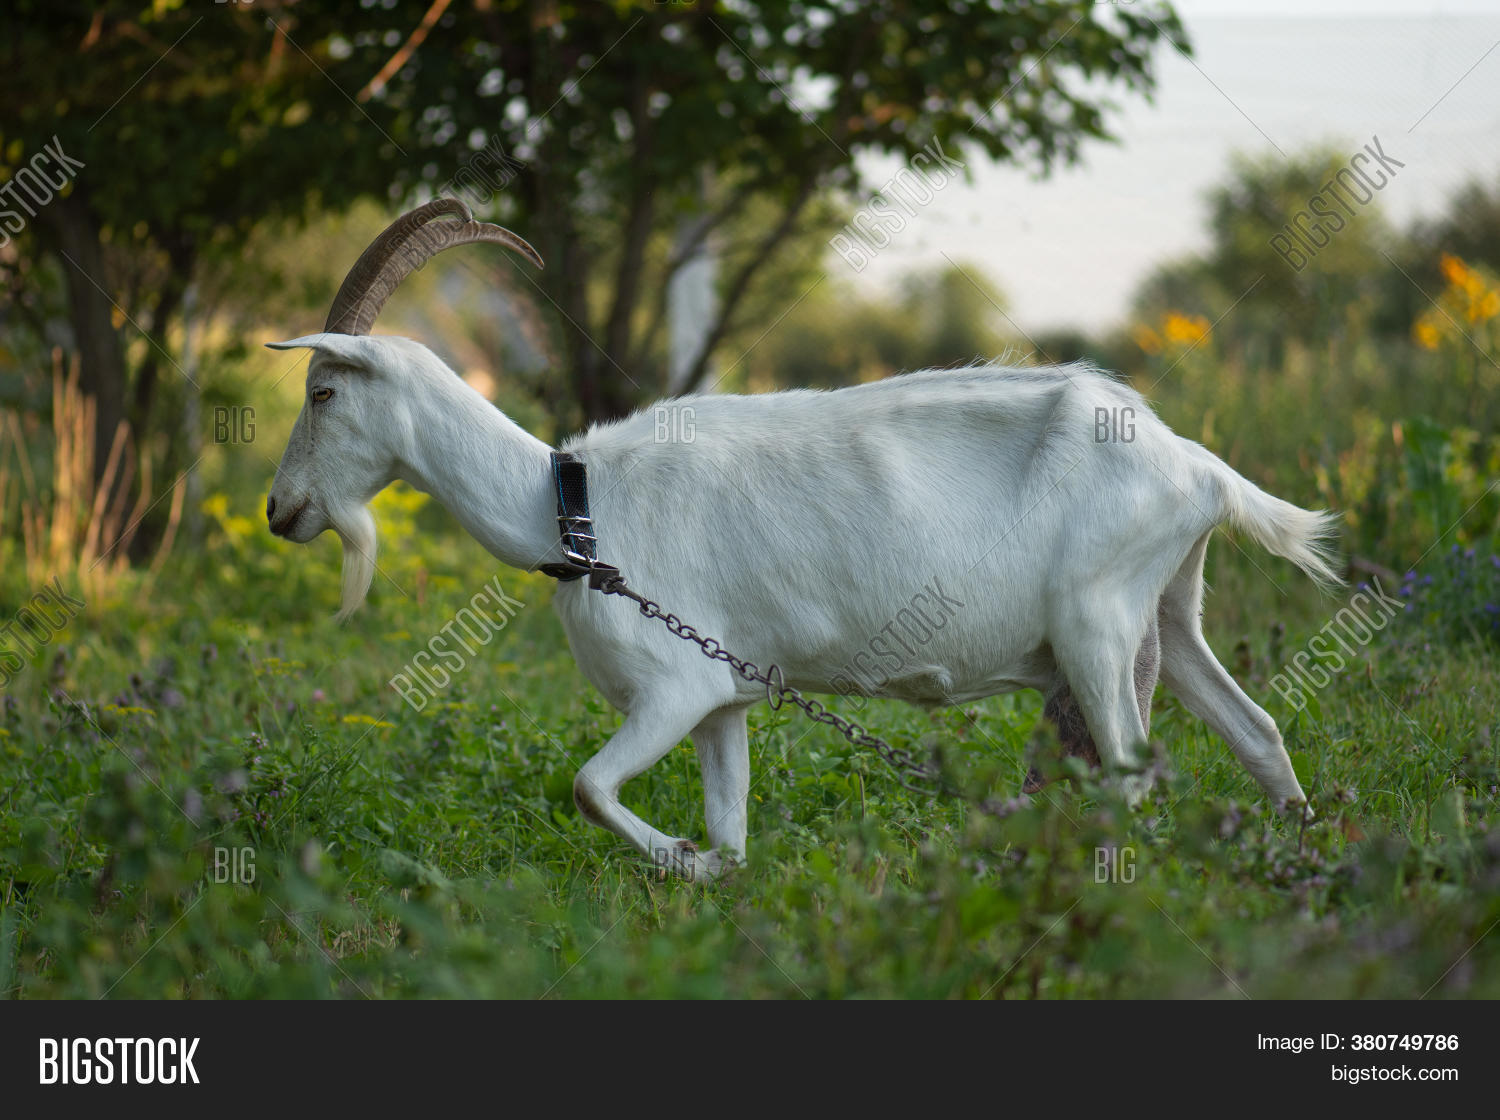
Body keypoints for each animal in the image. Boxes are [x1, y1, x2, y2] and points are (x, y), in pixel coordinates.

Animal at [265, 200, 1340, 878]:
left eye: (322, 392)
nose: (282, 513)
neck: (573, 505)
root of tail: (1196, 465)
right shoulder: (722, 702)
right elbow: (733, 831)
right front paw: (709, 871)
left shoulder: (673, 685)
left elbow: (585, 786)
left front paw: (678, 858)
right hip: (1170, 609)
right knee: (1254, 729)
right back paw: (1300, 859)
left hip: (1096, 620)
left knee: (1129, 770)